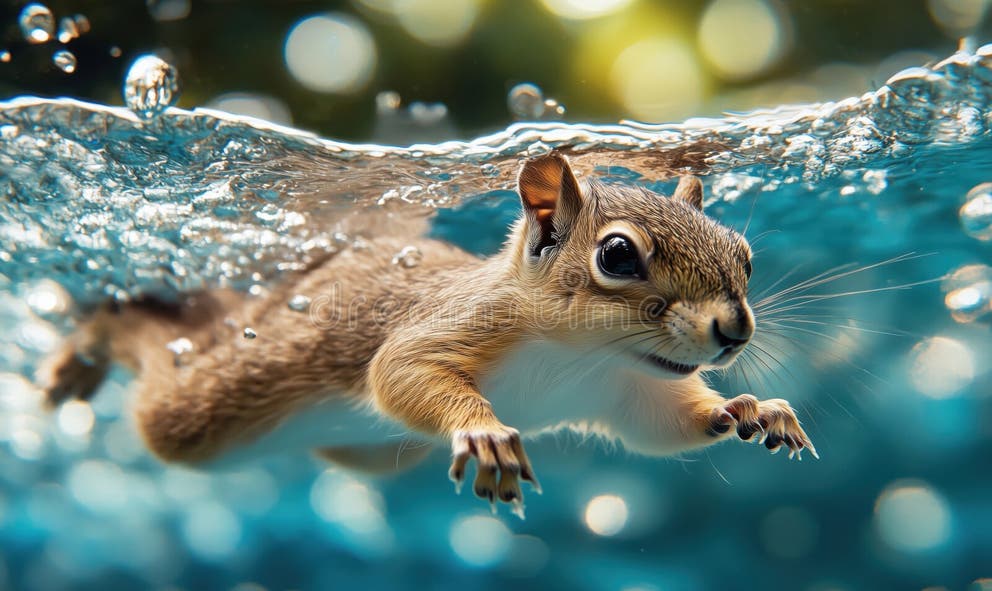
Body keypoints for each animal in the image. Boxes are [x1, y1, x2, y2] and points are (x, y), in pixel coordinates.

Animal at [38, 152, 816, 514]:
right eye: (618, 255)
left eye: (745, 256)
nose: (735, 331)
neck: (578, 357)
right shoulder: (453, 324)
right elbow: (400, 369)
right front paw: (485, 433)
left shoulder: (621, 392)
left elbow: (659, 425)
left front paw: (751, 408)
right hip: (207, 405)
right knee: (159, 383)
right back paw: (91, 340)